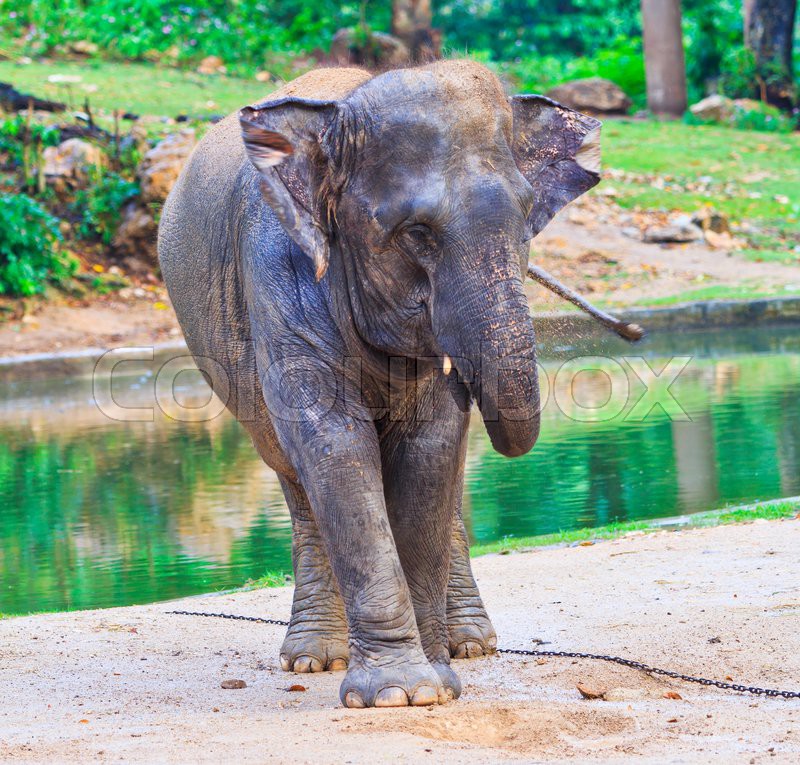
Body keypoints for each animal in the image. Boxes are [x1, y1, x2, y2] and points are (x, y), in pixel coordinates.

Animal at [158, 60, 601, 708]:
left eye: (527, 218)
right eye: (416, 232)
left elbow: (430, 447)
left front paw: (437, 685)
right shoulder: (278, 271)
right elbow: (334, 443)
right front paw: (399, 694)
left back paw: (470, 646)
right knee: (293, 475)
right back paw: (313, 659)